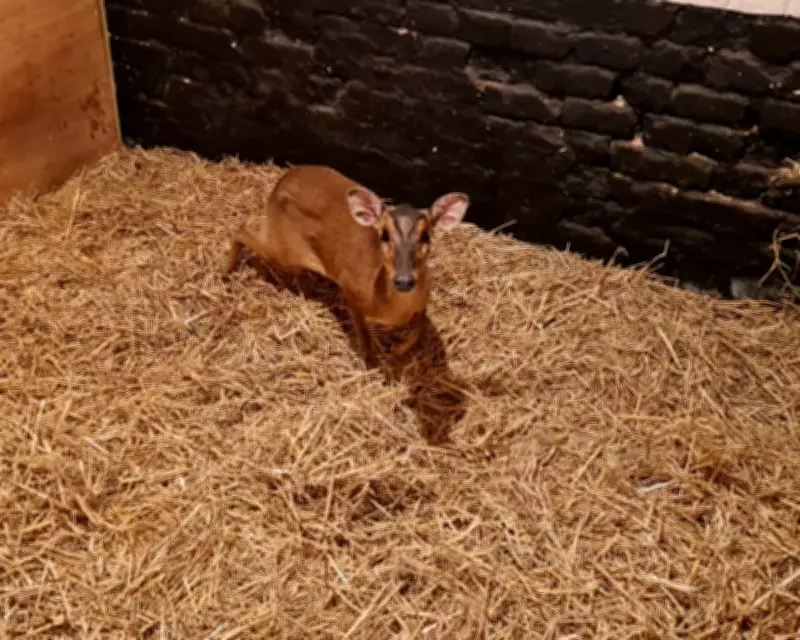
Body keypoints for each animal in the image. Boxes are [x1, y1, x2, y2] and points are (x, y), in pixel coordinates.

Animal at [223, 165, 469, 364]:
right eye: (384, 234)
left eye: (426, 235)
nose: (404, 280)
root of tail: (279, 183)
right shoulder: (350, 287)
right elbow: (364, 335)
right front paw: (370, 362)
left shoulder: (423, 300)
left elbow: (420, 327)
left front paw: (398, 350)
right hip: (284, 250)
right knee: (241, 229)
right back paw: (226, 272)